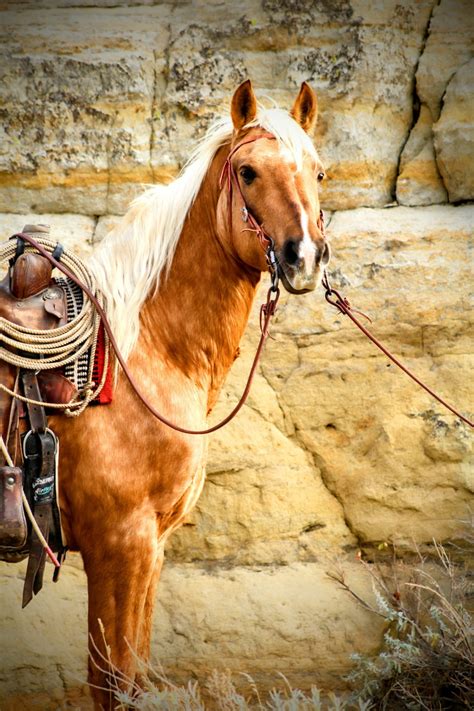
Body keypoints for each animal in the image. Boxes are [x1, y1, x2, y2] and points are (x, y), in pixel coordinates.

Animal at [42, 79, 329, 708]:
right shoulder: (120, 544)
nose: (304, 257)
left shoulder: (152, 549)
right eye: (247, 171)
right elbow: (114, 681)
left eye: (318, 172)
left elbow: (136, 674)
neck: (139, 351)